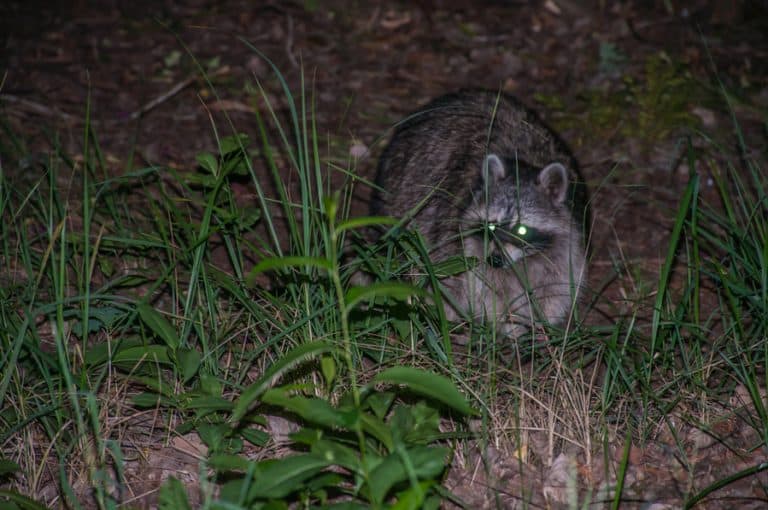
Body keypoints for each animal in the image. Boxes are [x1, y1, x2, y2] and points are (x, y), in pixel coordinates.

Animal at [371, 90, 588, 337]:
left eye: (521, 229)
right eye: (491, 225)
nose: (495, 259)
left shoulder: (567, 236)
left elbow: (559, 284)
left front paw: (537, 322)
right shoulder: (460, 233)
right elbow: (477, 284)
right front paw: (499, 321)